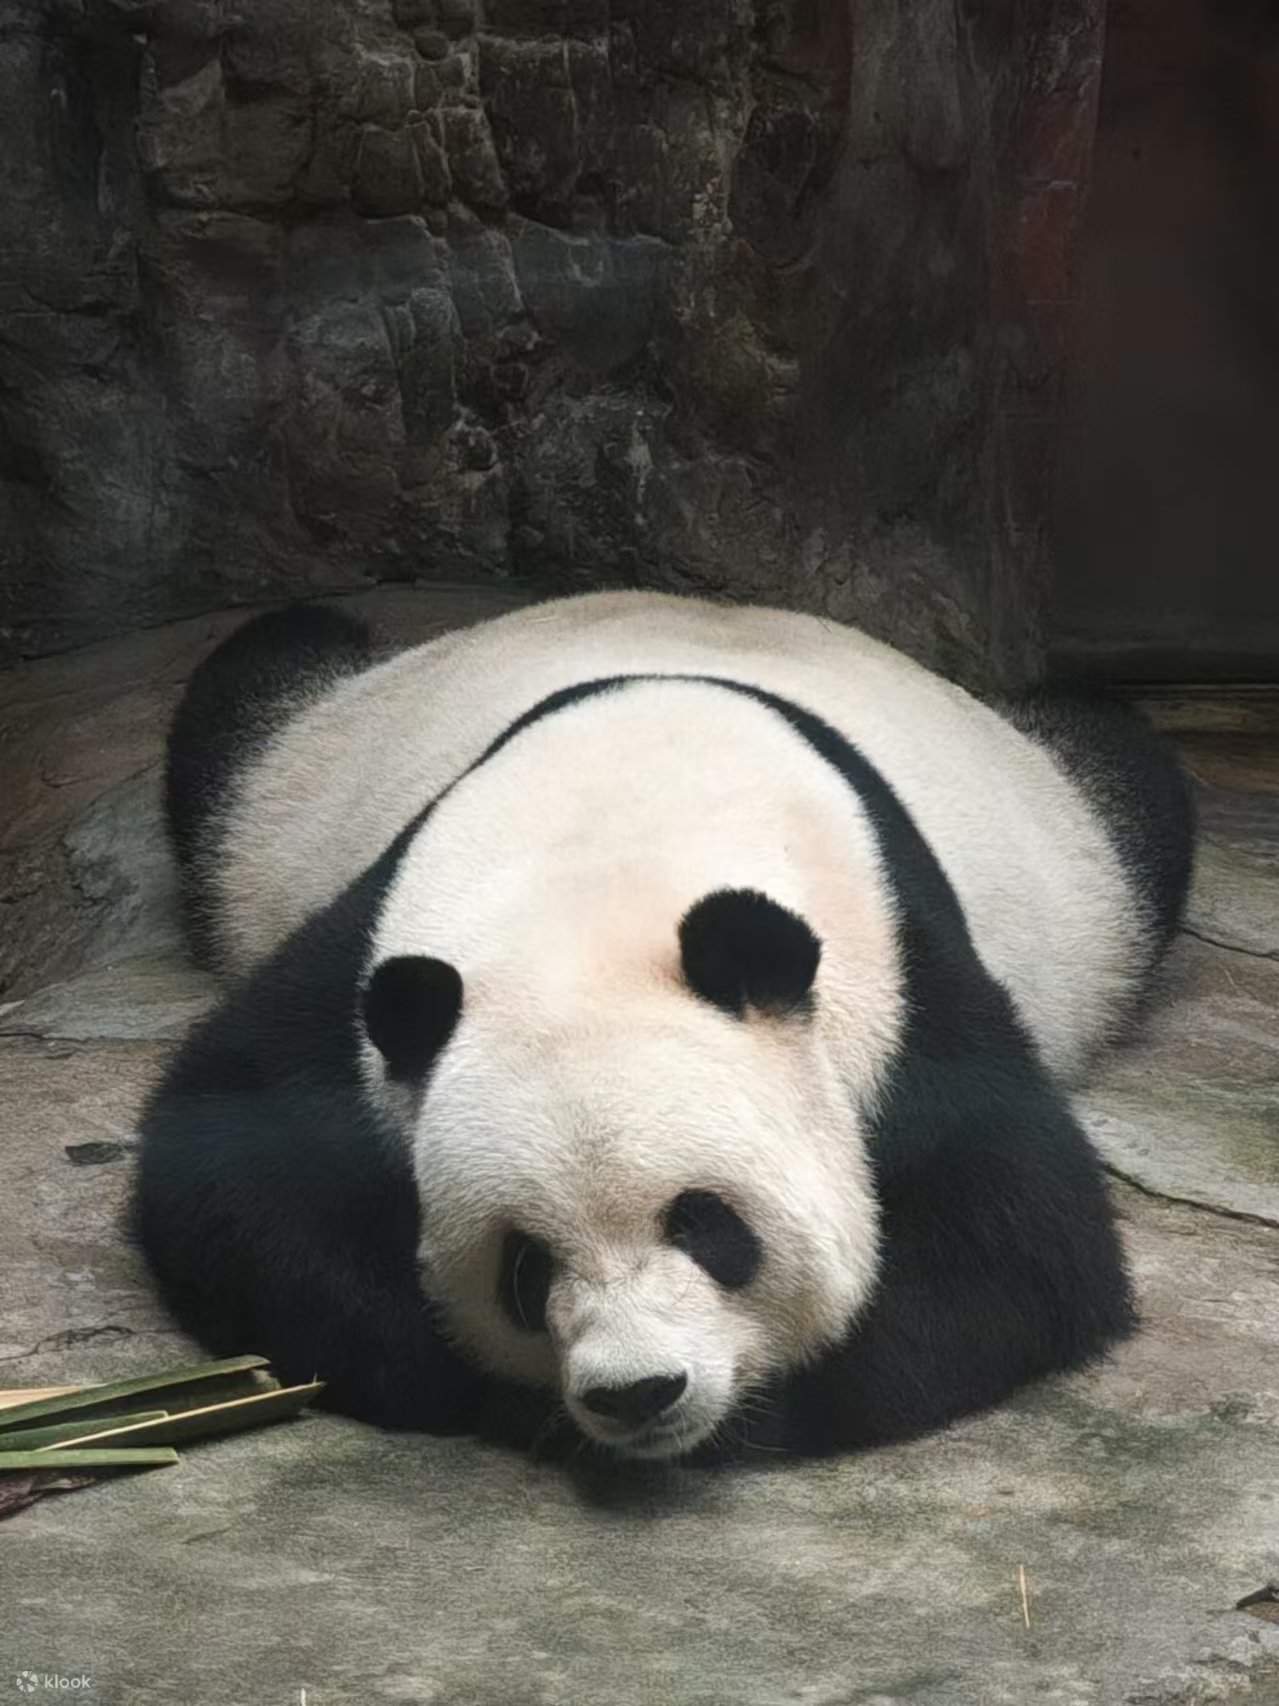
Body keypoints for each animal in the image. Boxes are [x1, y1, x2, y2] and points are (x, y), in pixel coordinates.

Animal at [135, 591, 1195, 1462]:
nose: (637, 1393)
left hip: (1083, 846)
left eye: (708, 1225)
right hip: (279, 783)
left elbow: (1014, 1247)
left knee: (1125, 764)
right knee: (259, 674)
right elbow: (231, 1171)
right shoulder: (370, 953)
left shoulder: (905, 981)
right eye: (523, 1266)